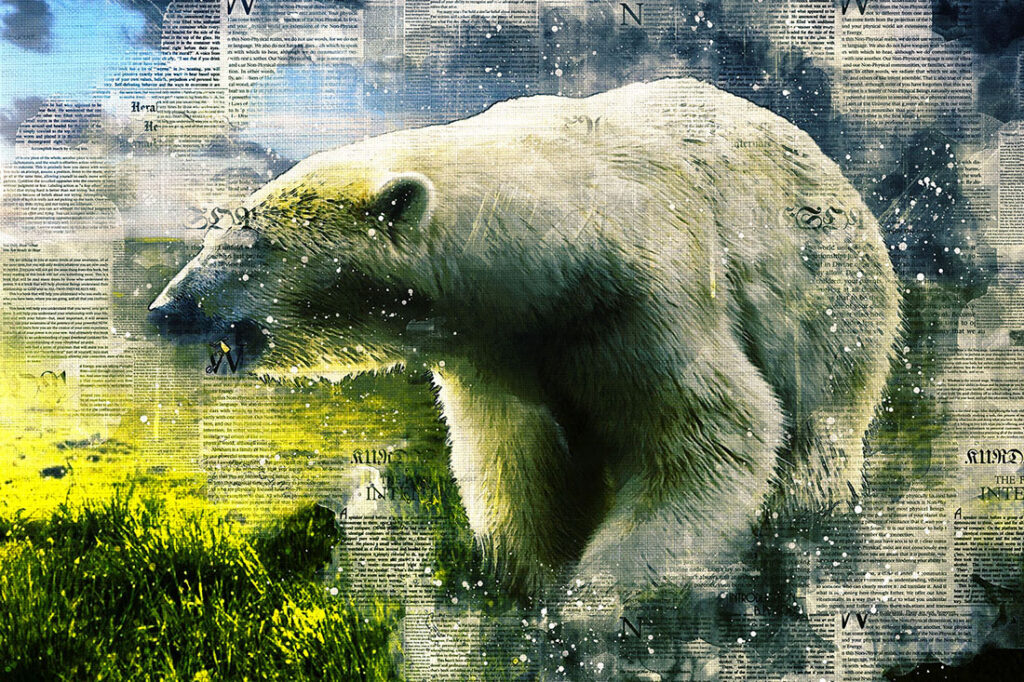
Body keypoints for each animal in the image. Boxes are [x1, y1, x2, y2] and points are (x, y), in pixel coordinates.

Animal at [149, 78, 900, 616]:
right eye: (218, 227)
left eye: (255, 242)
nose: (169, 310)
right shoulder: (499, 348)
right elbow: (521, 459)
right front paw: (533, 582)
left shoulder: (640, 299)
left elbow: (712, 432)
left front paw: (597, 602)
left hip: (833, 311)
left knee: (812, 442)